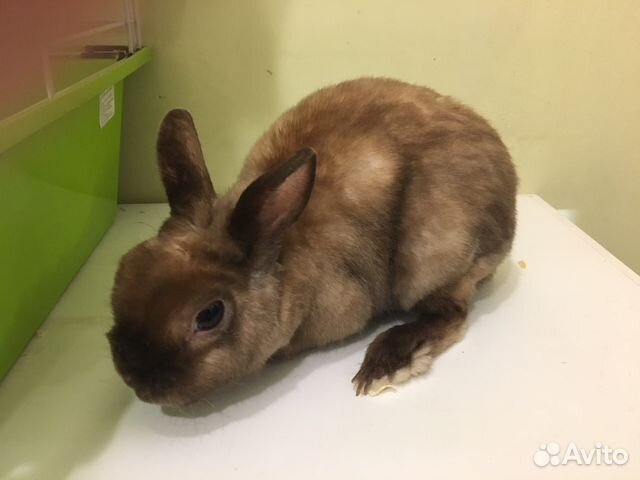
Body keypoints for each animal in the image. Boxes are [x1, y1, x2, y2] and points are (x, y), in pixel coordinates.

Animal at [108, 77, 517, 406]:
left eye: (209, 314)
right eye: (124, 267)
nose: (135, 381)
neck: (280, 250)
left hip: (436, 258)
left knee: (452, 314)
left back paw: (385, 365)